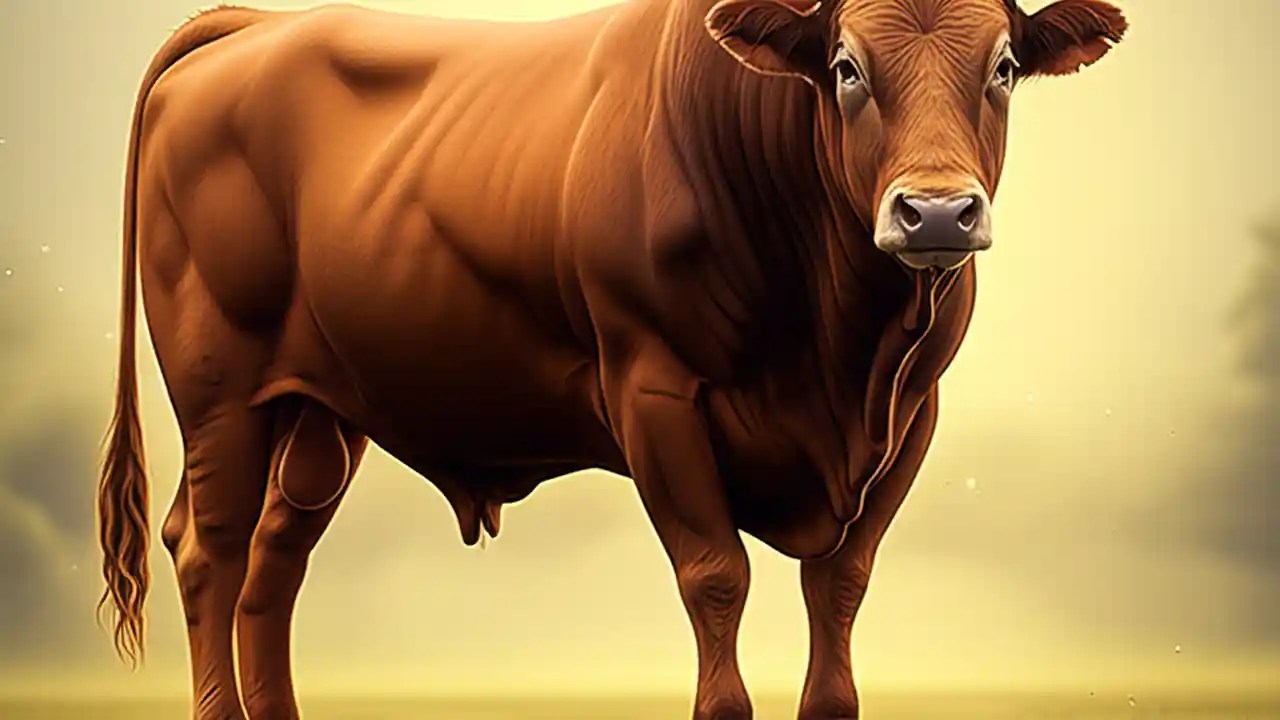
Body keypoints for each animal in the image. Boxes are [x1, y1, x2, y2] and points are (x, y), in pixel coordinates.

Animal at [96, 0, 1125, 717]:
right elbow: (716, 577)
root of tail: (258, 25)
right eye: (844, 68)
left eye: (1002, 66)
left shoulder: (911, 415)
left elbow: (839, 593)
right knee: (210, 547)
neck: (842, 355)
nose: (937, 213)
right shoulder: (653, 389)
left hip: (321, 411)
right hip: (219, 387)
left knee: (276, 559)